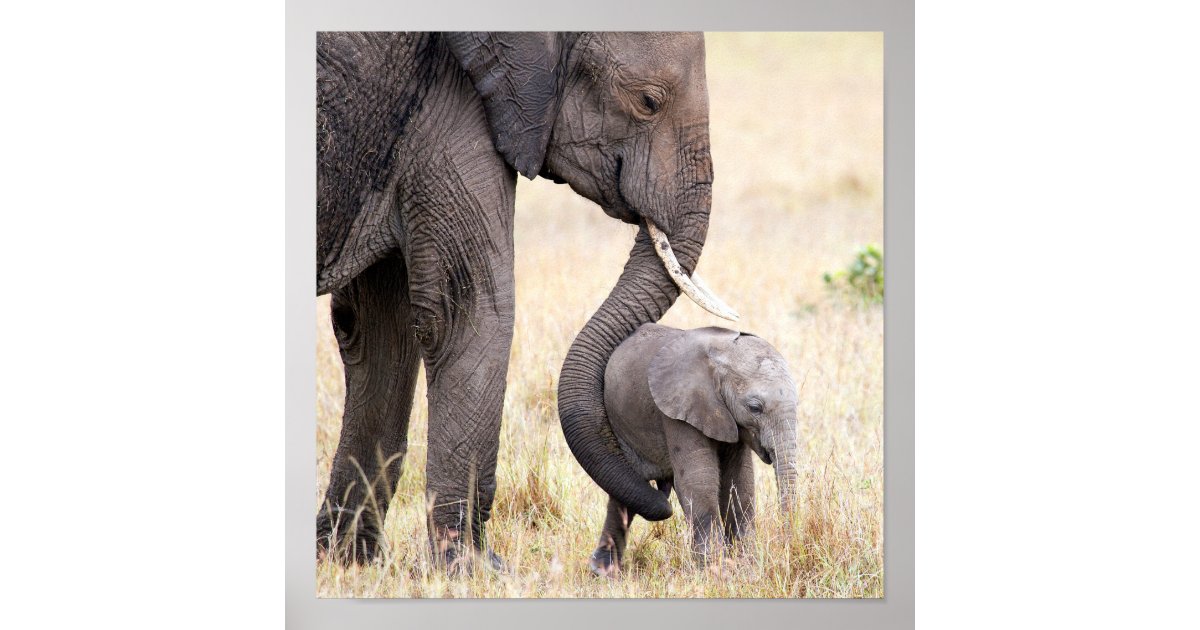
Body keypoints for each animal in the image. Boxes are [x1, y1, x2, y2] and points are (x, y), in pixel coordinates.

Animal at [315, 32, 738, 570]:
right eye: (648, 102)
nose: (660, 495)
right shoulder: (451, 101)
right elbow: (470, 313)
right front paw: (475, 569)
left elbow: (378, 328)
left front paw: (349, 562)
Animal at [587, 324, 799, 576]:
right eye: (754, 408)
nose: (787, 545)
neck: (721, 353)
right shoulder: (679, 409)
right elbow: (698, 482)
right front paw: (715, 571)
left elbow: (739, 483)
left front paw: (745, 566)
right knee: (625, 487)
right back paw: (603, 572)